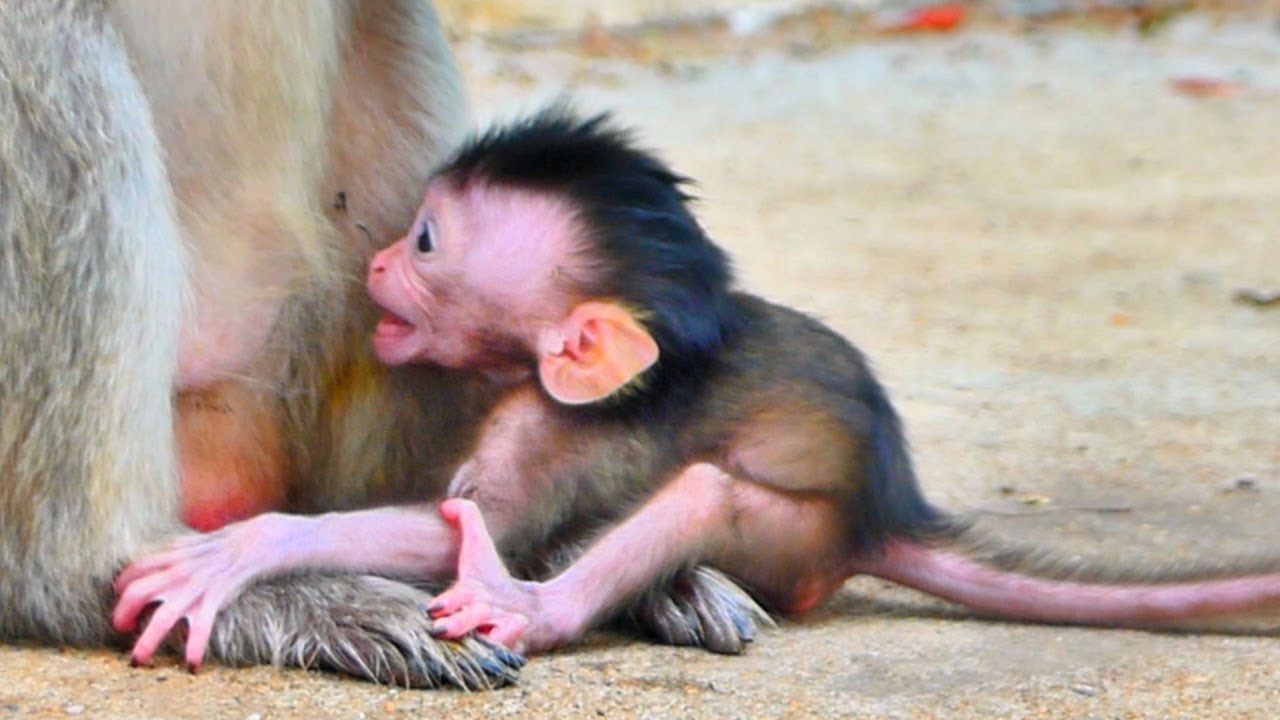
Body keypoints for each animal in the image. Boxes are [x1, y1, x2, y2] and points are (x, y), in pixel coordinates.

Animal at [113, 104, 1280, 665]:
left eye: (431, 239)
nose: (382, 264)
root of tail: (887, 510)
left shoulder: (544, 426)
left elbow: (466, 520)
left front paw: (245, 548)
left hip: (796, 536)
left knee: (707, 496)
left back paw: (530, 607)